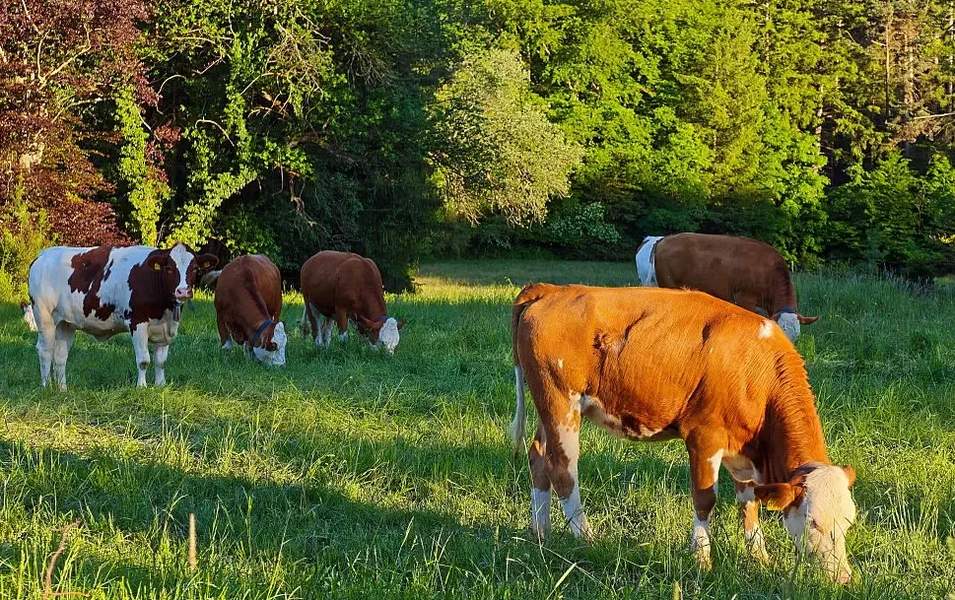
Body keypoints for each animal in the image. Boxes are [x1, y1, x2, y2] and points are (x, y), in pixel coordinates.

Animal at [28, 243, 218, 389]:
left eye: (195, 268)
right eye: (169, 268)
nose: (183, 291)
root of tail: (43, 255)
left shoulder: (166, 328)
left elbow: (161, 361)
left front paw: (160, 386)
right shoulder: (137, 322)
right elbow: (143, 360)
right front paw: (142, 387)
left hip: (65, 323)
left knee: (60, 356)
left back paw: (62, 389)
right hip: (44, 317)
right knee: (45, 351)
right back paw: (46, 387)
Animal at [509, 283, 856, 583]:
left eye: (849, 521)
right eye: (813, 522)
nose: (842, 578)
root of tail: (553, 289)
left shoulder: (743, 451)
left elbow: (749, 500)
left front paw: (758, 556)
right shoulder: (704, 437)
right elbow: (705, 499)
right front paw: (702, 559)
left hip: (547, 406)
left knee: (538, 458)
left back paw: (541, 534)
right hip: (560, 402)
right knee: (563, 470)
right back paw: (586, 537)